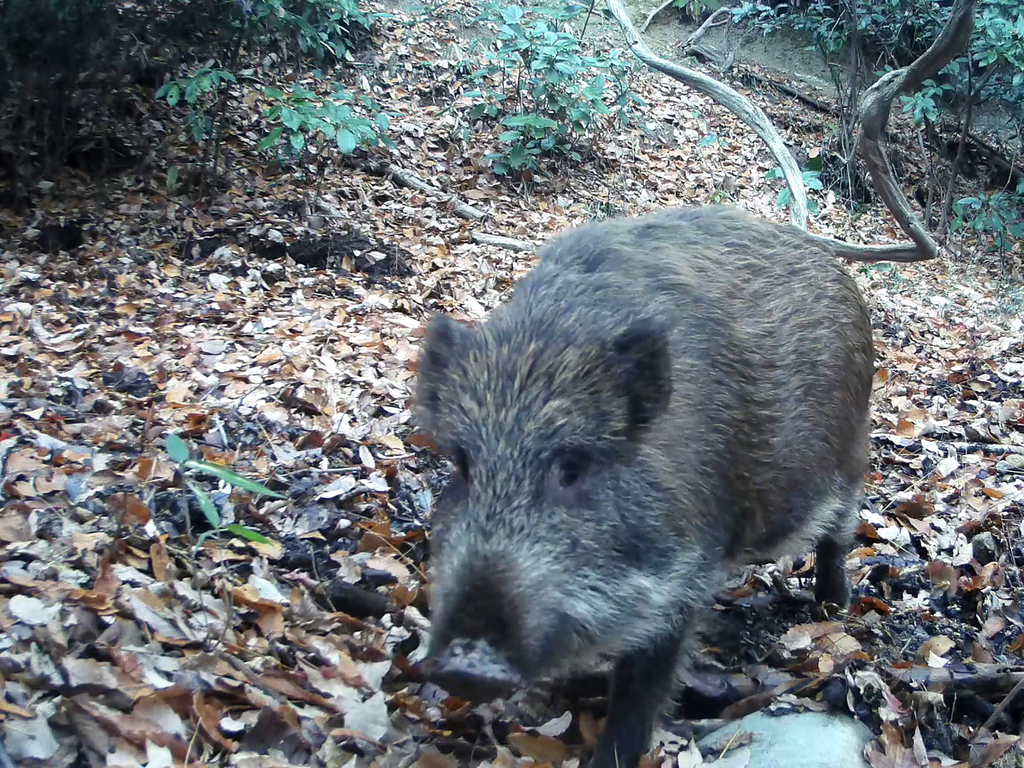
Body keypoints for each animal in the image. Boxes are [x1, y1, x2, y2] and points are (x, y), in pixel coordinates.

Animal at [413, 205, 874, 768]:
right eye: (462, 465)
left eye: (572, 468)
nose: (466, 660)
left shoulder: (681, 574)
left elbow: (642, 687)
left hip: (851, 453)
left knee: (839, 531)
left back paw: (834, 604)